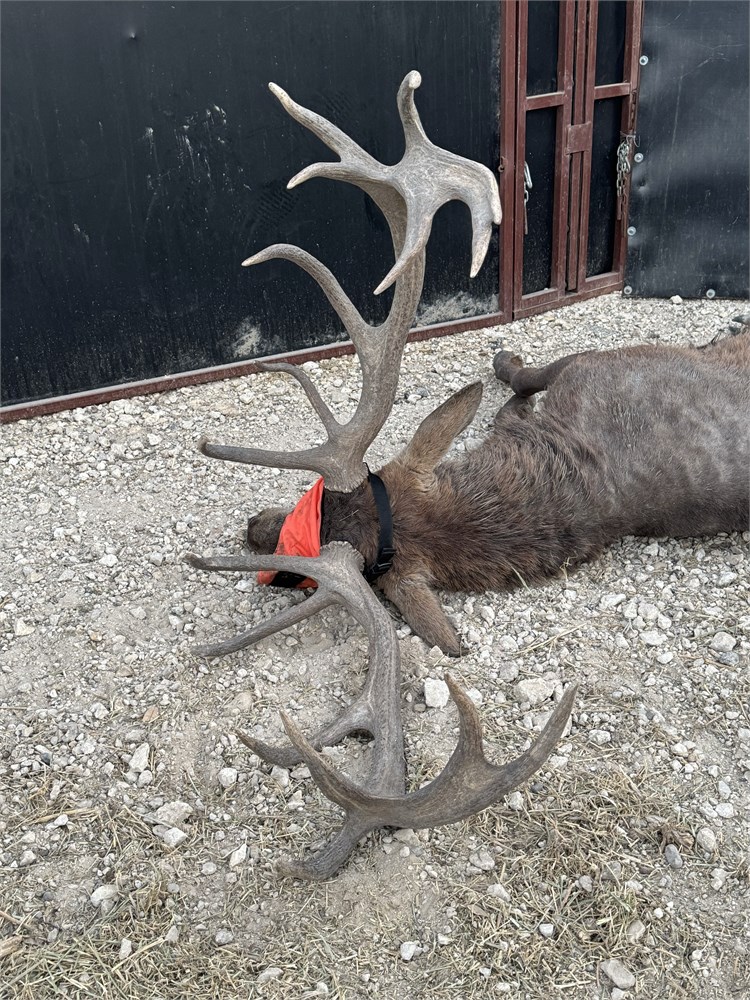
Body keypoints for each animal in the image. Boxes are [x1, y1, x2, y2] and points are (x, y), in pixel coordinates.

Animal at [189, 73, 748, 879]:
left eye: (313, 530)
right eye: (323, 496)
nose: (253, 529)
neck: (570, 466)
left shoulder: (595, 363)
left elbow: (527, 369)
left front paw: (504, 356)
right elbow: (513, 389)